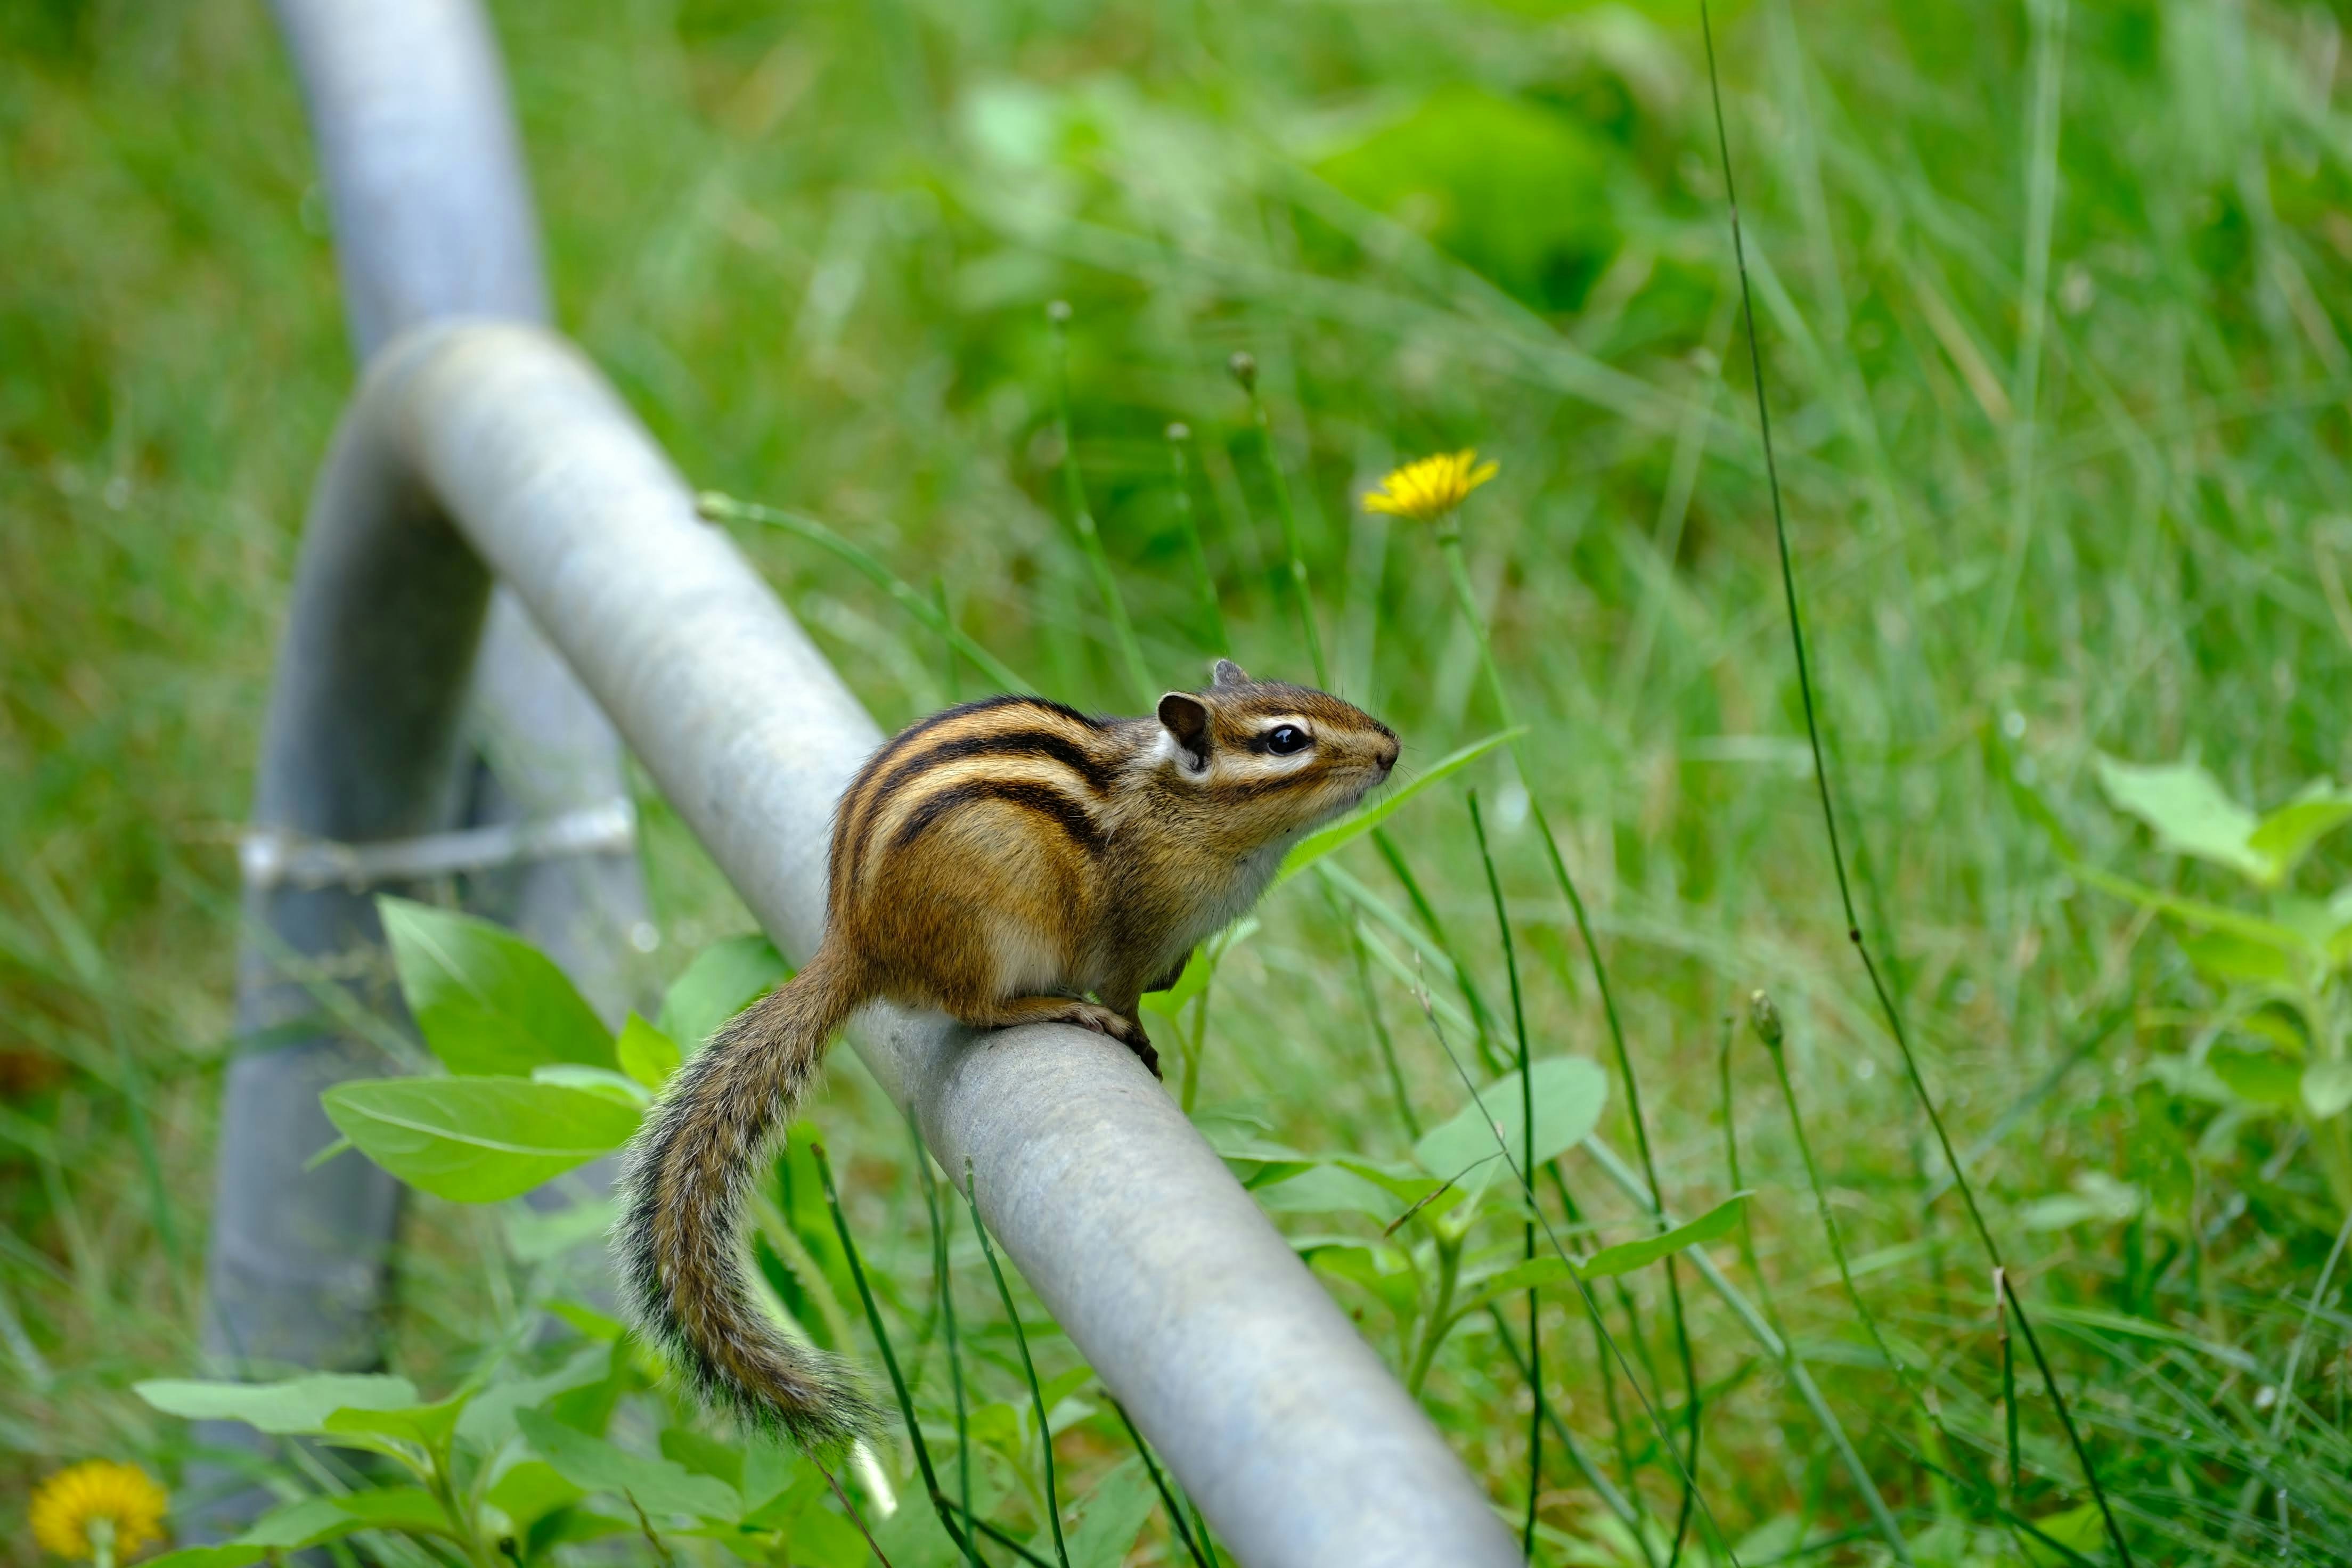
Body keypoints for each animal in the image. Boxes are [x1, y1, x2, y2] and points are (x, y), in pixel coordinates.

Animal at [613, 659, 1400, 1450]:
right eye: (1286, 739)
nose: (1391, 748)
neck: (1178, 805)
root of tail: (856, 944)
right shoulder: (1135, 933)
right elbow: (1126, 996)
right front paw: (1137, 1036)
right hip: (996, 918)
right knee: (976, 1007)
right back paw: (1056, 1005)